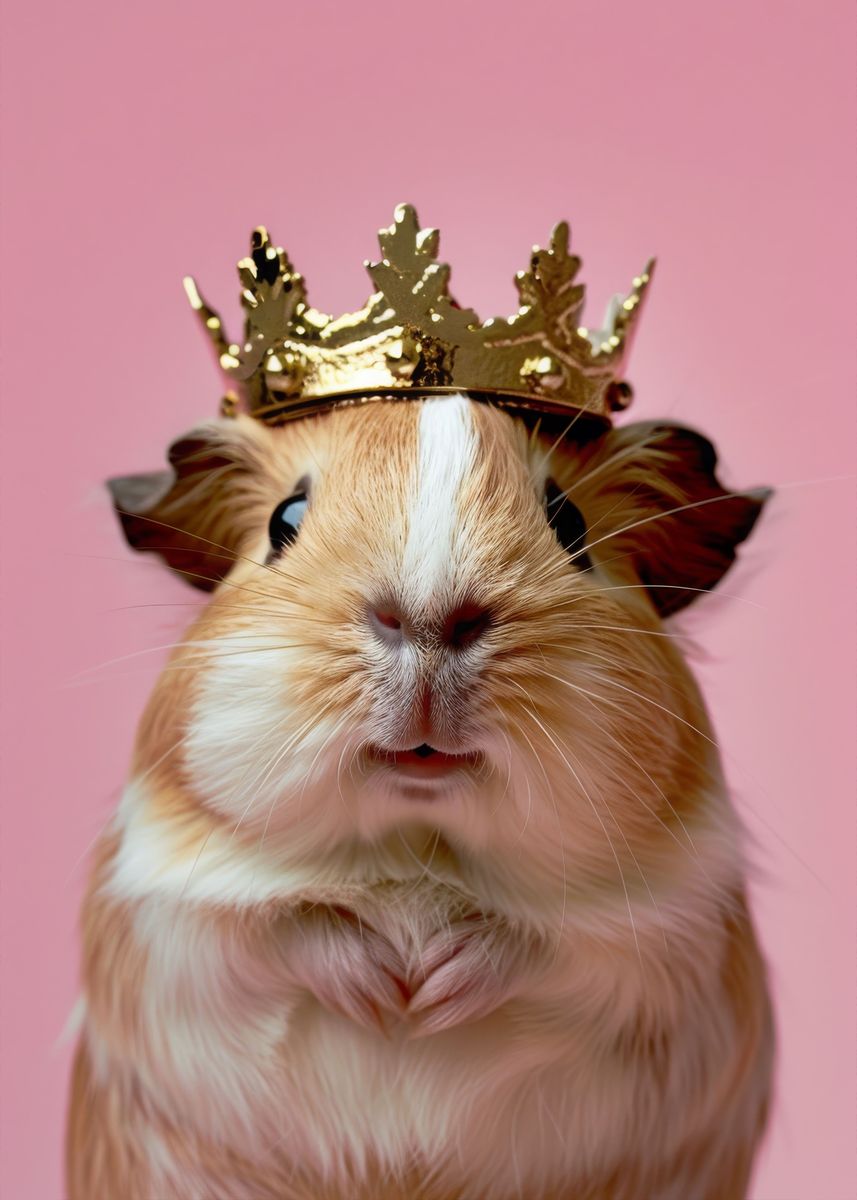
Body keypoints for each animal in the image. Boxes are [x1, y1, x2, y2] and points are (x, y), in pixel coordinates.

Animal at [67, 395, 774, 1200]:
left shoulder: (672, 934)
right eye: (284, 519)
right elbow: (282, 929)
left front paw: (430, 991)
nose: (430, 618)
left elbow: (550, 947)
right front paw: (388, 995)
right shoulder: (169, 912)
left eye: (569, 523)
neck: (418, 841)